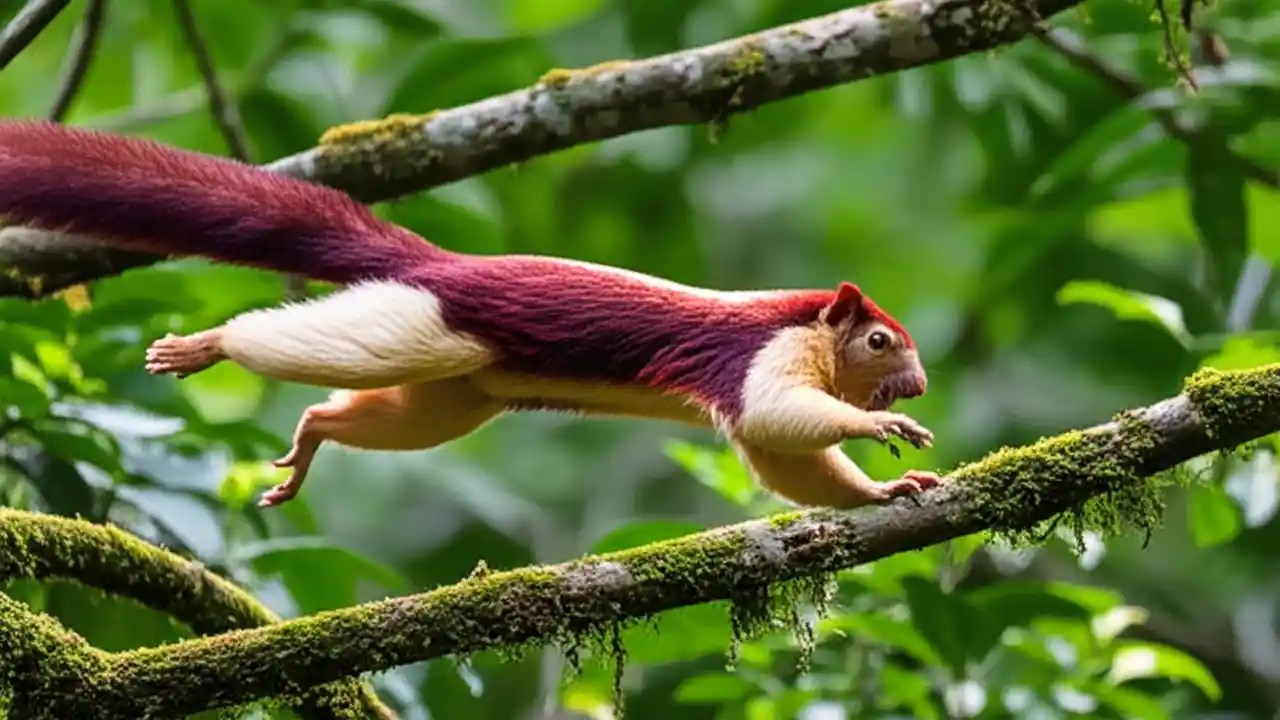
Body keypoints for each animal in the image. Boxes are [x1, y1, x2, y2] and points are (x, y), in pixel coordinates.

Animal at [0, 120, 942, 509]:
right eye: (881, 340)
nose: (919, 386)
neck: (808, 325)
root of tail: (436, 263)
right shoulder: (763, 353)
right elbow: (781, 418)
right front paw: (882, 435)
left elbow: (790, 468)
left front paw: (885, 489)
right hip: (416, 323)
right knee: (303, 344)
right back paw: (206, 346)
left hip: (458, 389)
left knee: (373, 416)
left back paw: (309, 441)